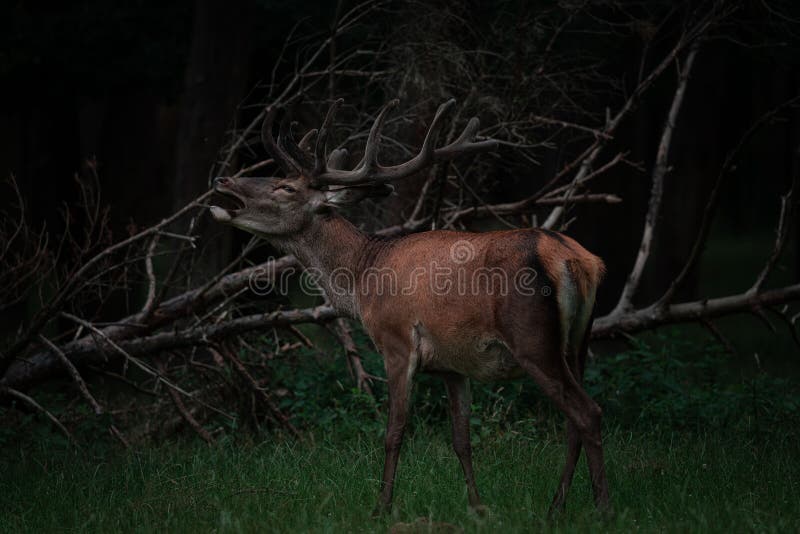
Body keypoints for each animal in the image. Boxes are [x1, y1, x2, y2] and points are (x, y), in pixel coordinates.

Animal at [209, 98, 609, 516]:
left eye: (285, 187)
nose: (222, 180)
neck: (362, 279)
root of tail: (574, 259)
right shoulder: (453, 365)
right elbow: (461, 439)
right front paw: (477, 506)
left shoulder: (397, 341)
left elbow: (394, 431)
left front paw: (381, 506)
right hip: (578, 342)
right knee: (574, 420)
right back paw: (556, 506)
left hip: (532, 339)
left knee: (588, 412)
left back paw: (601, 506)